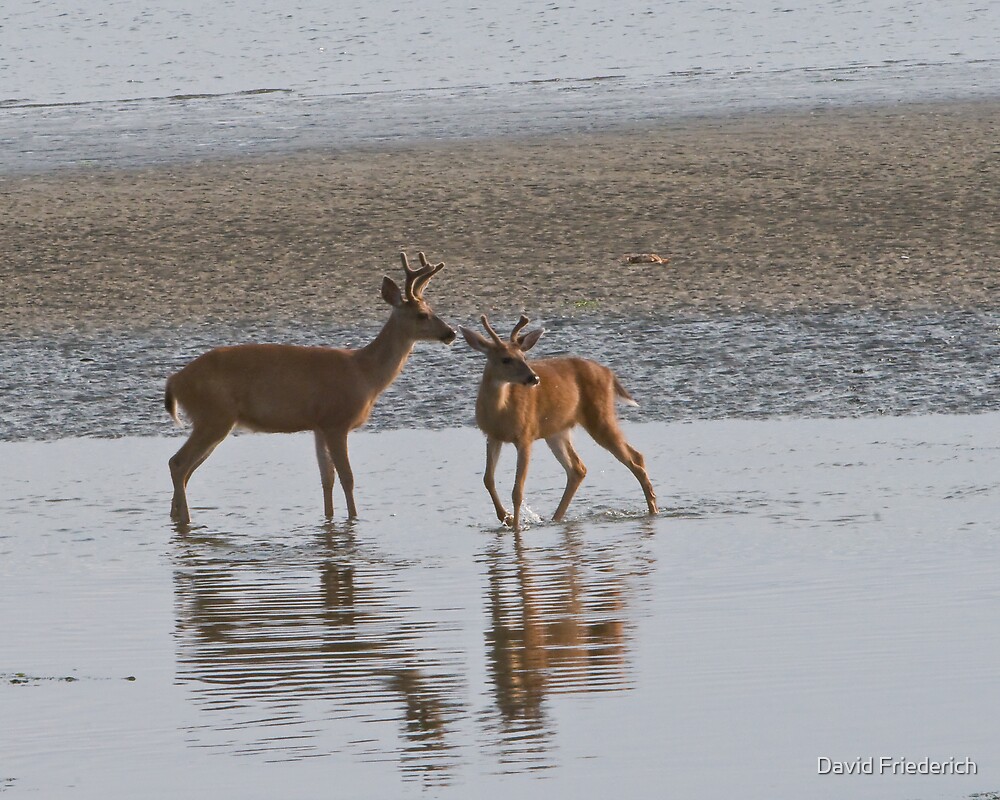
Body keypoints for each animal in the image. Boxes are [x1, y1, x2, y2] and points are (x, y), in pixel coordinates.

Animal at [164, 252, 455, 525]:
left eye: (432, 307)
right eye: (422, 315)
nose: (450, 333)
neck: (365, 373)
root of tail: (175, 380)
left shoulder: (318, 425)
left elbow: (327, 478)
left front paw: (329, 520)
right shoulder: (337, 421)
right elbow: (347, 477)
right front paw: (354, 518)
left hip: (214, 421)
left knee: (186, 470)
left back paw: (177, 519)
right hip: (214, 416)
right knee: (177, 463)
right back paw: (187, 520)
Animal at [459, 315, 657, 531]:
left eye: (524, 357)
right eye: (506, 359)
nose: (533, 378)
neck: (500, 412)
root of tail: (609, 373)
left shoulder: (525, 435)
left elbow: (517, 490)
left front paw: (517, 527)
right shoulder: (492, 435)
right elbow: (488, 479)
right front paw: (507, 517)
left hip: (600, 417)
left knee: (634, 459)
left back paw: (653, 510)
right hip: (557, 432)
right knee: (579, 469)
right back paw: (556, 519)